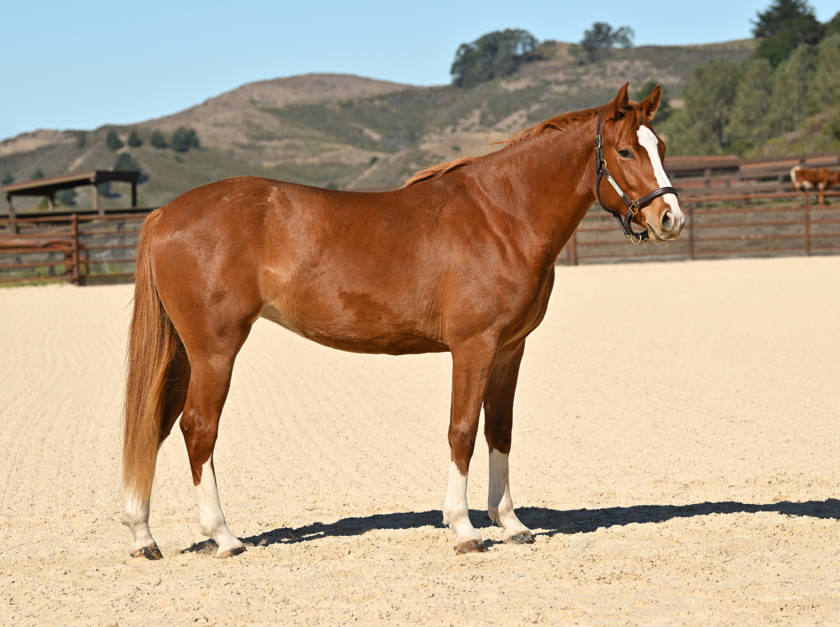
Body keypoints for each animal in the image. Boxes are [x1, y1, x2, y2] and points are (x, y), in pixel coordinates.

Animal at [122, 83, 685, 559]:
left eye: (660, 145)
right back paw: (223, 536)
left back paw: (143, 536)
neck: (502, 217)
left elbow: (499, 430)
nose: (671, 219)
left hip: (184, 352)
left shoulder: (510, 348)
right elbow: (462, 430)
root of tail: (166, 214)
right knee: (198, 428)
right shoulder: (474, 346)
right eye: (626, 152)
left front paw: (512, 524)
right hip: (215, 349)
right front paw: (464, 529)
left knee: (156, 425)